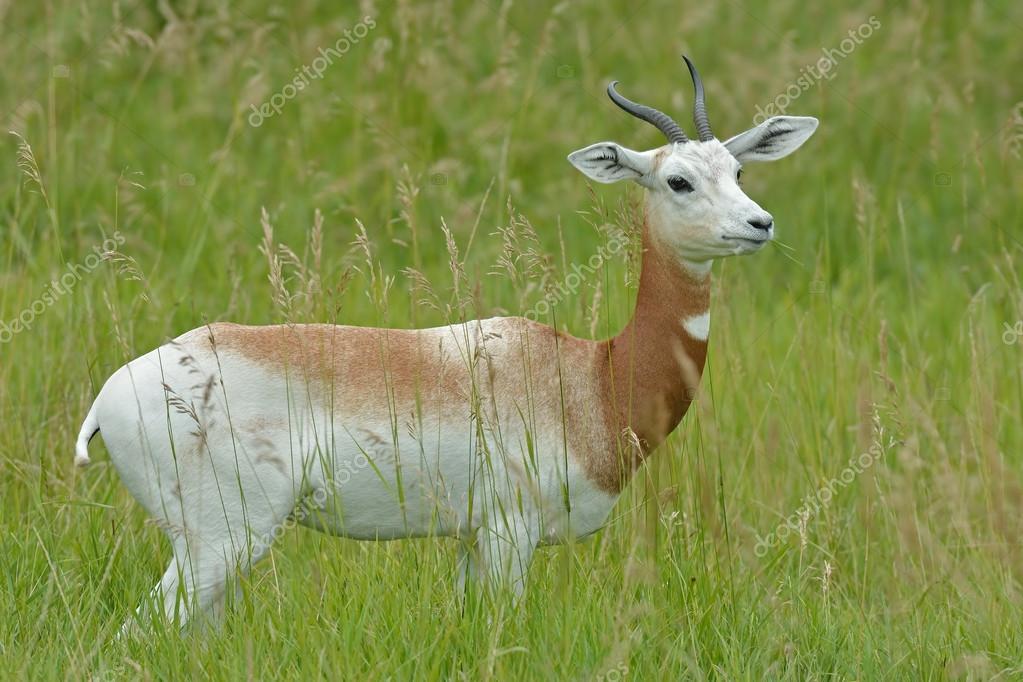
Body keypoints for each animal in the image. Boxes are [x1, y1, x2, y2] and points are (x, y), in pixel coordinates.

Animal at [75, 56, 817, 630]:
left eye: (738, 172)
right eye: (677, 180)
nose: (760, 223)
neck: (591, 375)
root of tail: (110, 396)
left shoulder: (470, 541)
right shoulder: (509, 534)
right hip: (223, 542)